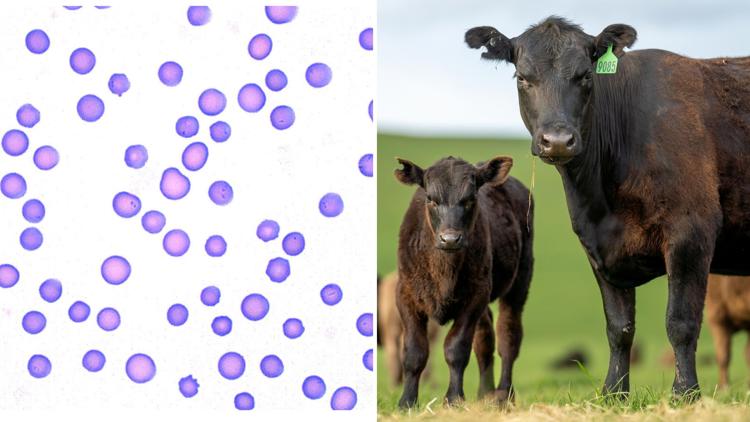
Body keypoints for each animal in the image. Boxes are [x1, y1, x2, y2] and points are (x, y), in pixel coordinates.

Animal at [394, 155, 533, 408]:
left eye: (470, 199)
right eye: (431, 199)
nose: (450, 239)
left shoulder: (474, 299)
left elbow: (456, 349)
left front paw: (453, 399)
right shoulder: (405, 295)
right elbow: (414, 352)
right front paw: (407, 402)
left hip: (519, 281)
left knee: (508, 336)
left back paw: (503, 395)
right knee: (485, 338)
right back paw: (485, 393)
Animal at [465, 16, 750, 398]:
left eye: (586, 75)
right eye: (522, 77)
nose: (558, 140)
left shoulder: (691, 232)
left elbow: (681, 322)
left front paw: (685, 393)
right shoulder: (597, 244)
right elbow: (619, 327)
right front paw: (614, 392)